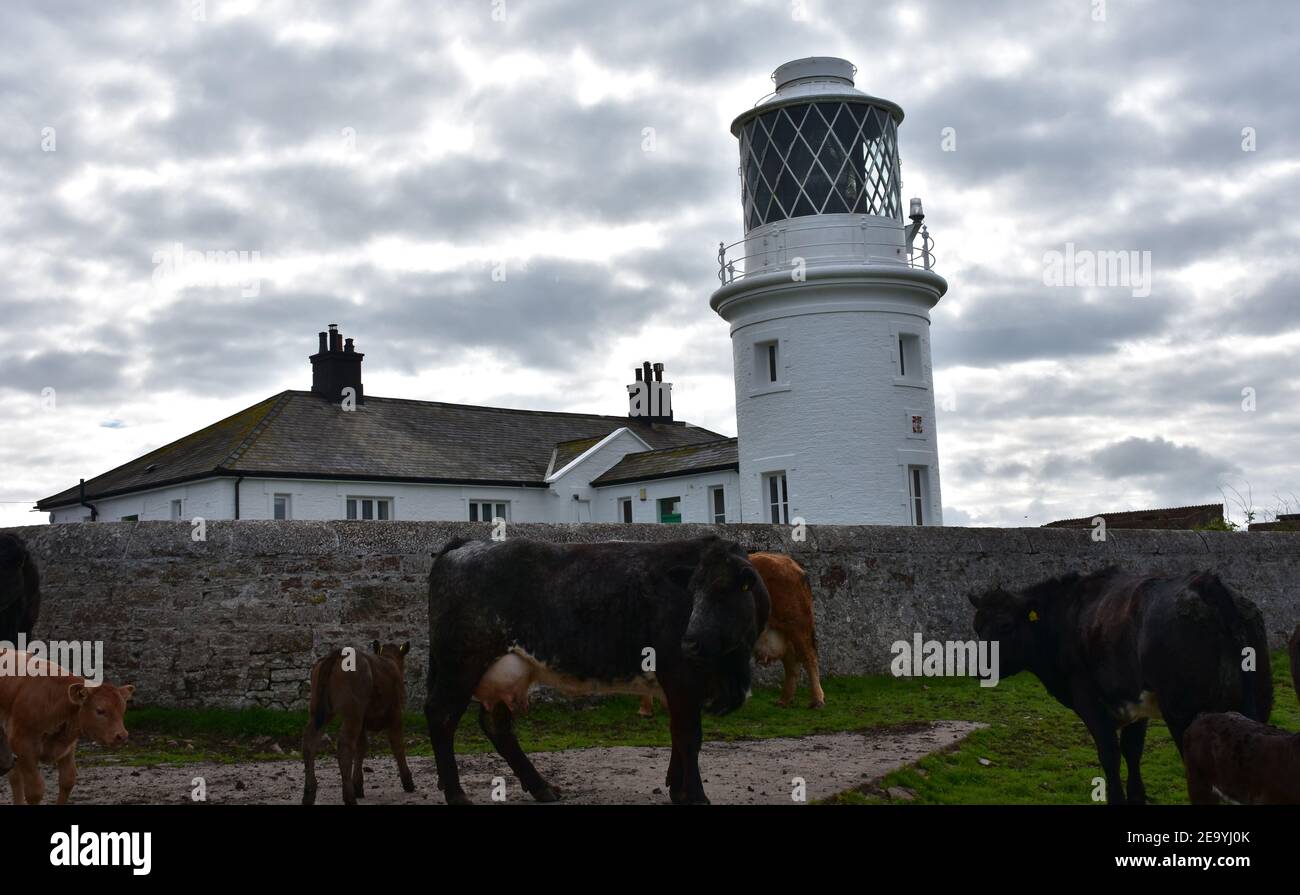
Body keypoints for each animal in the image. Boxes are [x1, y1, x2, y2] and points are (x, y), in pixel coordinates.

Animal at [0, 651, 134, 805]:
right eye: (100, 711)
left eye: (123, 709)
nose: (122, 736)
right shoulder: (22, 745)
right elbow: (35, 791)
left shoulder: (68, 745)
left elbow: (67, 781)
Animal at [302, 641, 415, 806]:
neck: (390, 661)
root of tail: (338, 653)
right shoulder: (396, 714)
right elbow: (398, 746)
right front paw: (408, 782)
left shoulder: (363, 720)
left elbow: (361, 748)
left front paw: (358, 786)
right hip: (352, 712)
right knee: (345, 745)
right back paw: (349, 797)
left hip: (318, 710)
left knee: (309, 743)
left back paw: (309, 794)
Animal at [425, 535, 770, 805]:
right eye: (694, 592)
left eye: (724, 592)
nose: (690, 642)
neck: (733, 667)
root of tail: (468, 544)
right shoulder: (681, 678)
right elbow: (689, 737)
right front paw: (696, 795)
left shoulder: (679, 688)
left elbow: (677, 734)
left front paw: (678, 788)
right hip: (460, 665)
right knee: (442, 716)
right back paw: (456, 794)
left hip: (503, 671)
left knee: (496, 726)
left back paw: (542, 788)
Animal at [639, 550, 823, 717]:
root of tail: (789, 563)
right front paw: (648, 709)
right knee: (792, 662)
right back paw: (784, 700)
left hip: (798, 626)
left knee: (809, 658)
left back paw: (816, 700)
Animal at [970, 567, 1271, 805]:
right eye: (977, 627)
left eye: (1005, 626)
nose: (979, 669)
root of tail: (1207, 585)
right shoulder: (1136, 704)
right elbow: (1132, 750)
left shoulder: (1089, 701)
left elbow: (1109, 754)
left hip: (1185, 715)